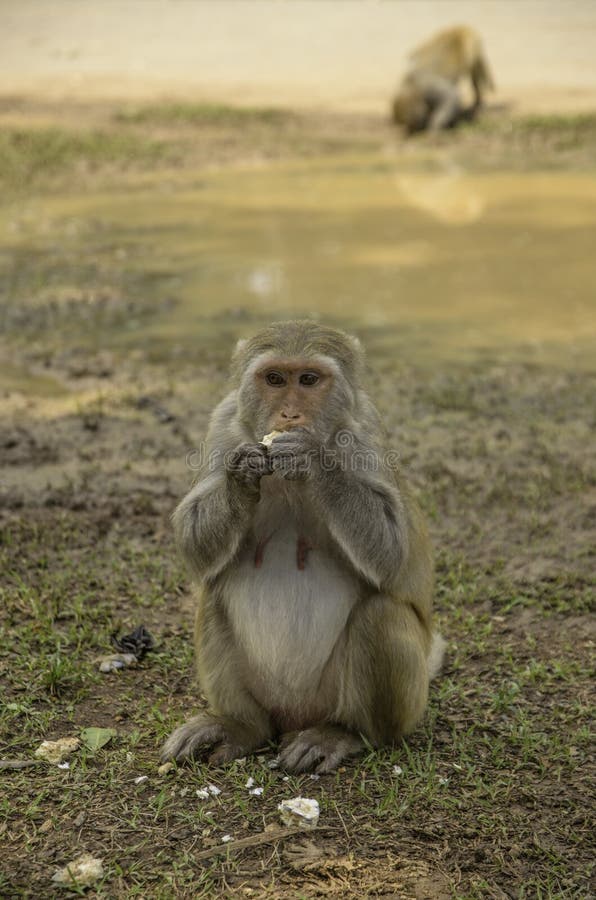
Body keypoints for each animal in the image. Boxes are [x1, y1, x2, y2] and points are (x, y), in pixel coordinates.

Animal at [162, 321, 444, 773]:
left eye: (309, 379)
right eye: (275, 379)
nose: (290, 415)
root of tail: (293, 716)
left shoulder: (365, 430)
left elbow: (392, 550)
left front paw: (313, 459)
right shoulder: (223, 423)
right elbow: (191, 540)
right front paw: (241, 477)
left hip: (371, 700)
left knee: (380, 614)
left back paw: (347, 734)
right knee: (214, 595)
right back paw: (240, 727)